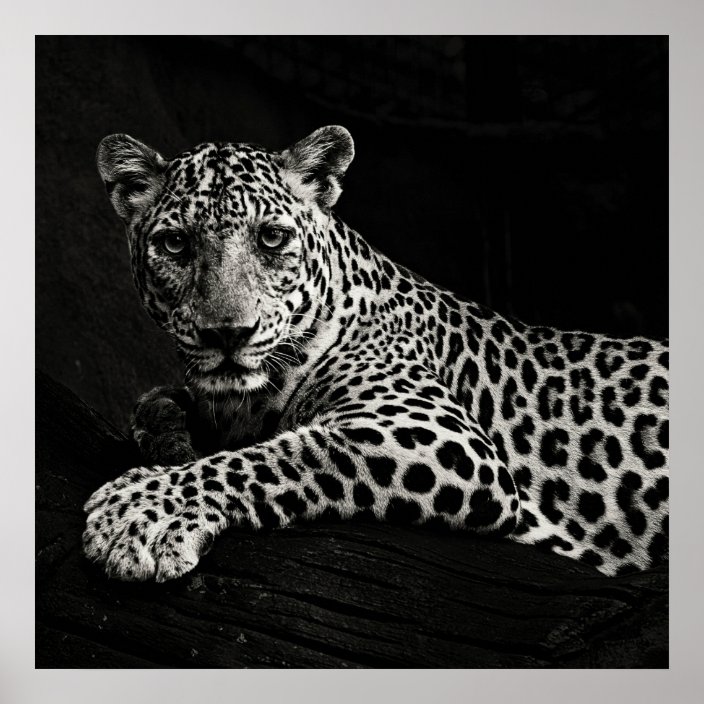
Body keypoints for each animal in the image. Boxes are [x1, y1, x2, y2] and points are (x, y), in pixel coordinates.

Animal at [83, 125, 669, 582]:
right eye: (175, 245)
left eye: (271, 238)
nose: (227, 334)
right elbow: (159, 403)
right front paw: (168, 439)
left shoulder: (441, 438)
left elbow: (281, 455)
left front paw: (138, 512)